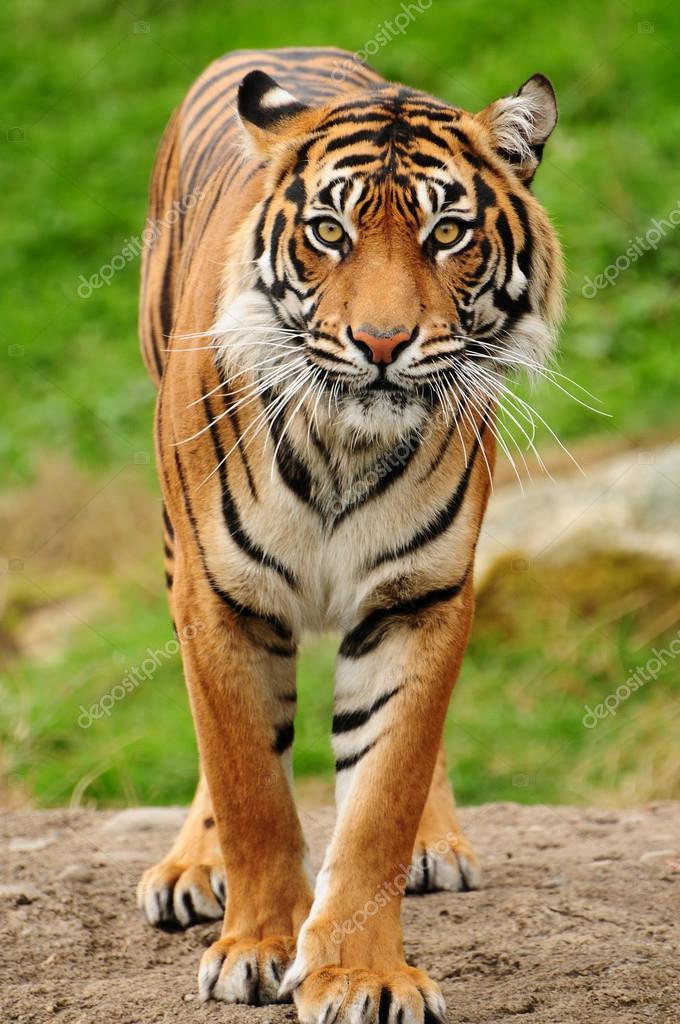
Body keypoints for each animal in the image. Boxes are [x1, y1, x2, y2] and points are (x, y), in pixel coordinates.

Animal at [136, 46, 563, 1024]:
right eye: (329, 232)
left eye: (448, 233)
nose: (380, 341)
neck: (343, 444)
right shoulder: (220, 594)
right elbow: (249, 784)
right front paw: (254, 948)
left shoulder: (422, 595)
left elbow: (382, 796)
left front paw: (365, 975)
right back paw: (191, 869)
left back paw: (437, 847)